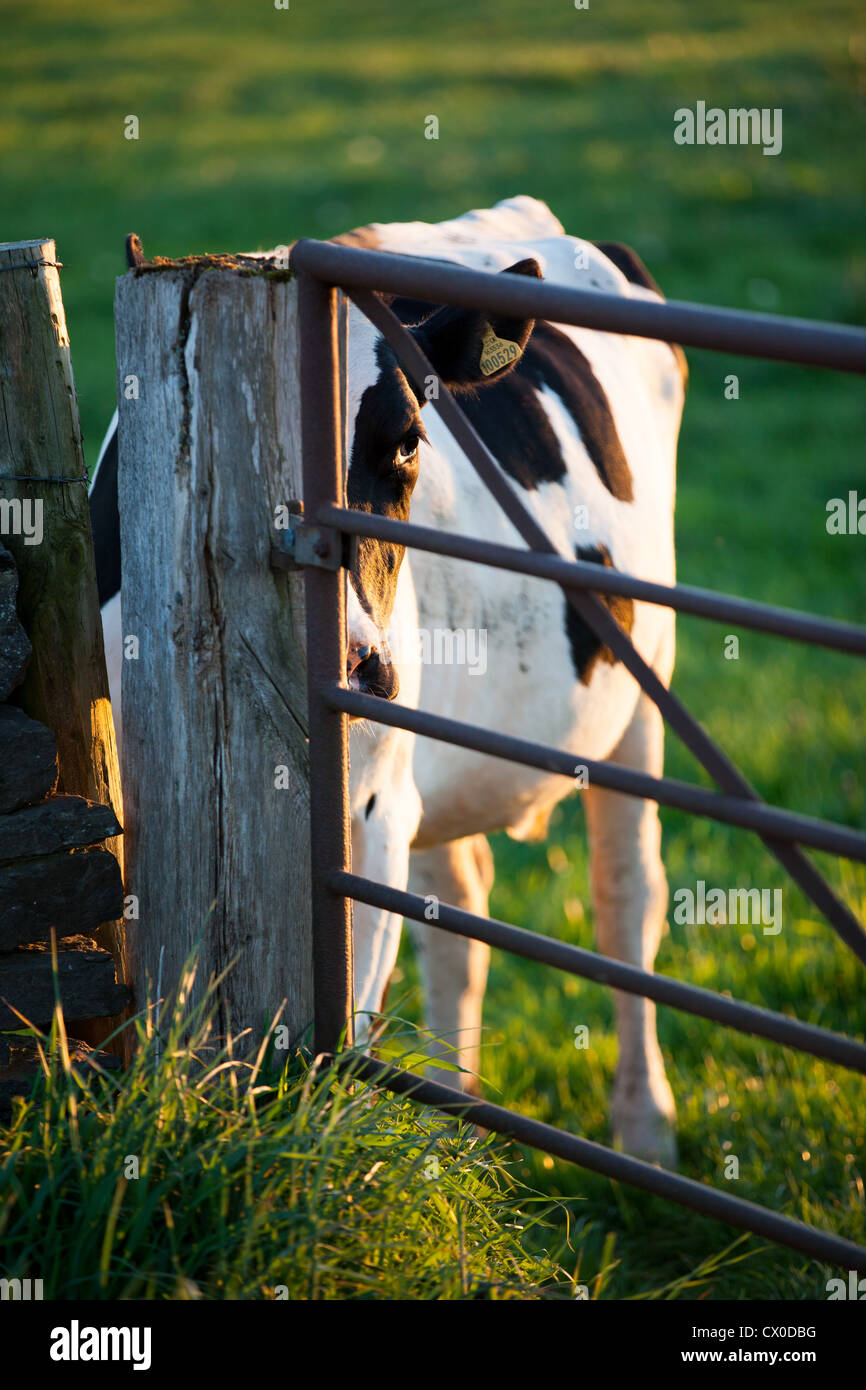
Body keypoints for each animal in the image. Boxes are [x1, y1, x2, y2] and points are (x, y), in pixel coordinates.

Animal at [90, 196, 687, 1164]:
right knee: (463, 904)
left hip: (641, 693)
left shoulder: (367, 816)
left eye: (406, 443)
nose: (356, 666)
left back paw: (644, 1128)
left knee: (626, 898)